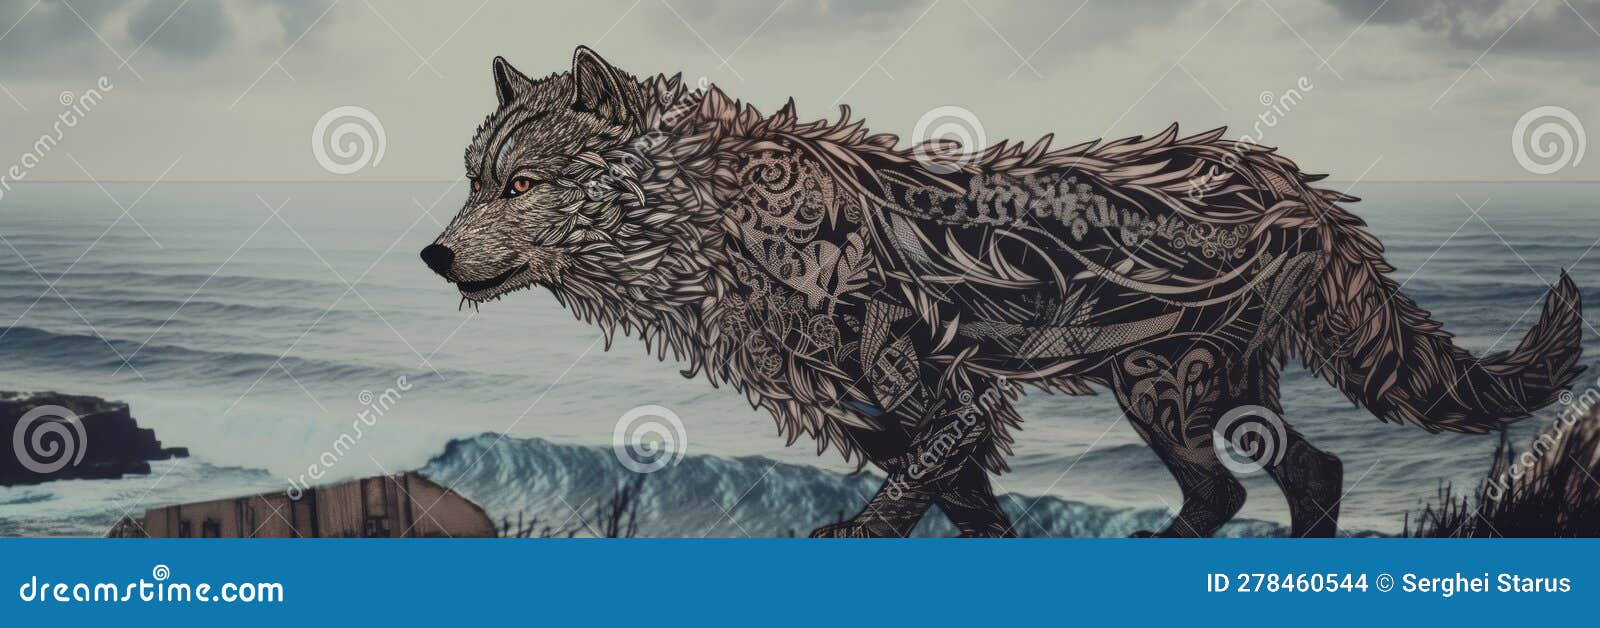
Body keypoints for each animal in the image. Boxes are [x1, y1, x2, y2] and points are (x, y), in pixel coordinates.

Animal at [424, 47, 1585, 537]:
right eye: (474, 178)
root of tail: (1286, 174)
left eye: (521, 184)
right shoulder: (887, 420)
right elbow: (967, 512)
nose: (433, 256)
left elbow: (901, 508)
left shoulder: (944, 395)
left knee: (1252, 486)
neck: (729, 227)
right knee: (1303, 474)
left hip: (1169, 388)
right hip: (1201, 388)